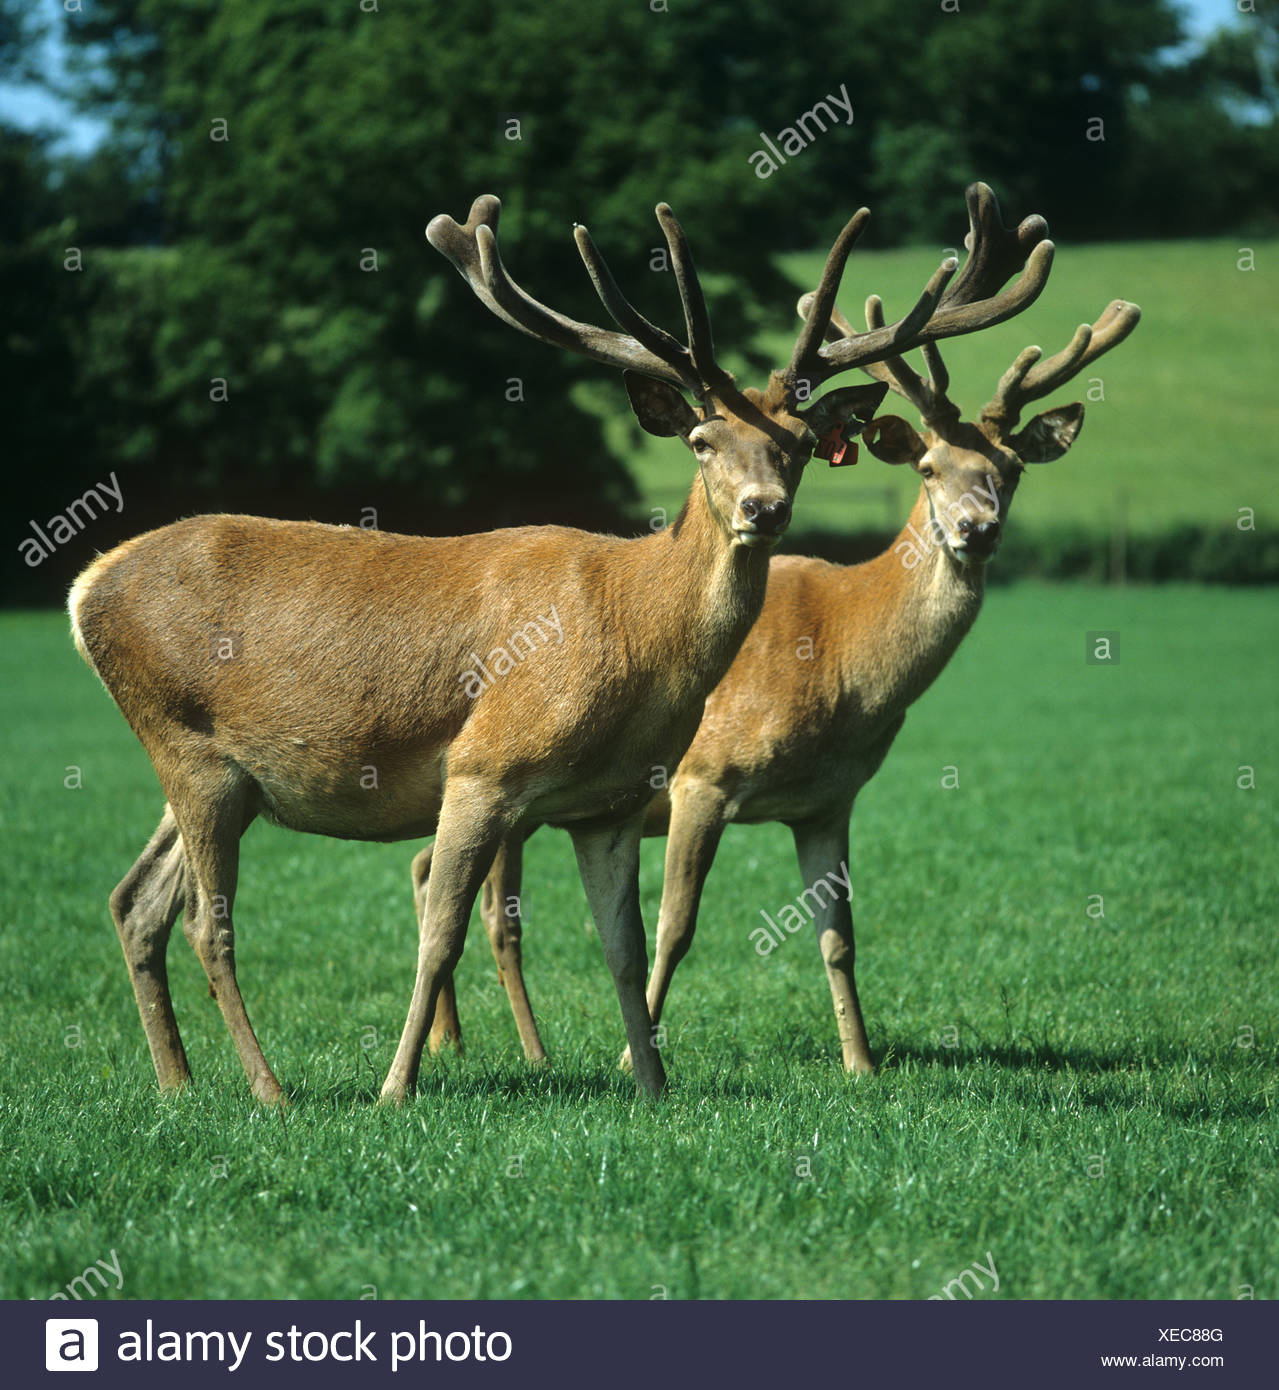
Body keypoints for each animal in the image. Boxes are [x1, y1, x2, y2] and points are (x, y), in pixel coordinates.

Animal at [69, 187, 1048, 1105]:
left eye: (803, 443)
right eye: (702, 440)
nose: (761, 510)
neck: (629, 631)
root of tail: (85, 590)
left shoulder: (611, 803)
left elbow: (625, 944)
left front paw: (652, 1085)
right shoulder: (484, 766)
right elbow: (441, 933)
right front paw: (396, 1089)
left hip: (222, 774)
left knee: (136, 901)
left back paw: (178, 1082)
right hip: (185, 742)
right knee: (208, 922)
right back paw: (267, 1090)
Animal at [409, 187, 1127, 1077]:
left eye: (1013, 470)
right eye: (928, 469)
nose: (976, 529)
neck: (846, 665)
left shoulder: (828, 802)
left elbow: (839, 937)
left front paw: (861, 1063)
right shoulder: (702, 778)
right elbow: (674, 928)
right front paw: (633, 1059)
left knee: (428, 867)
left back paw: (453, 1039)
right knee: (486, 907)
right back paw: (528, 1051)